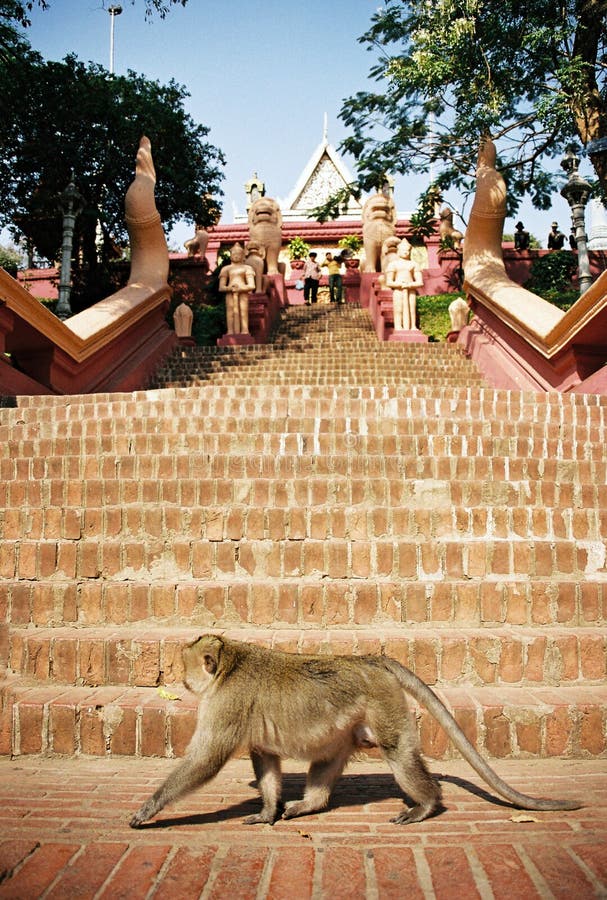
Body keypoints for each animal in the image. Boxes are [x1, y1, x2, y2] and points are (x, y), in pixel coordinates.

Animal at [129, 634, 581, 828]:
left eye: (184, 666)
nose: (178, 678)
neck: (230, 666)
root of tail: (370, 659)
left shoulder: (225, 704)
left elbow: (205, 760)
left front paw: (149, 808)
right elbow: (266, 760)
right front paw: (268, 810)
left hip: (384, 704)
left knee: (399, 752)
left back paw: (427, 803)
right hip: (348, 726)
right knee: (328, 758)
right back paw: (309, 805)